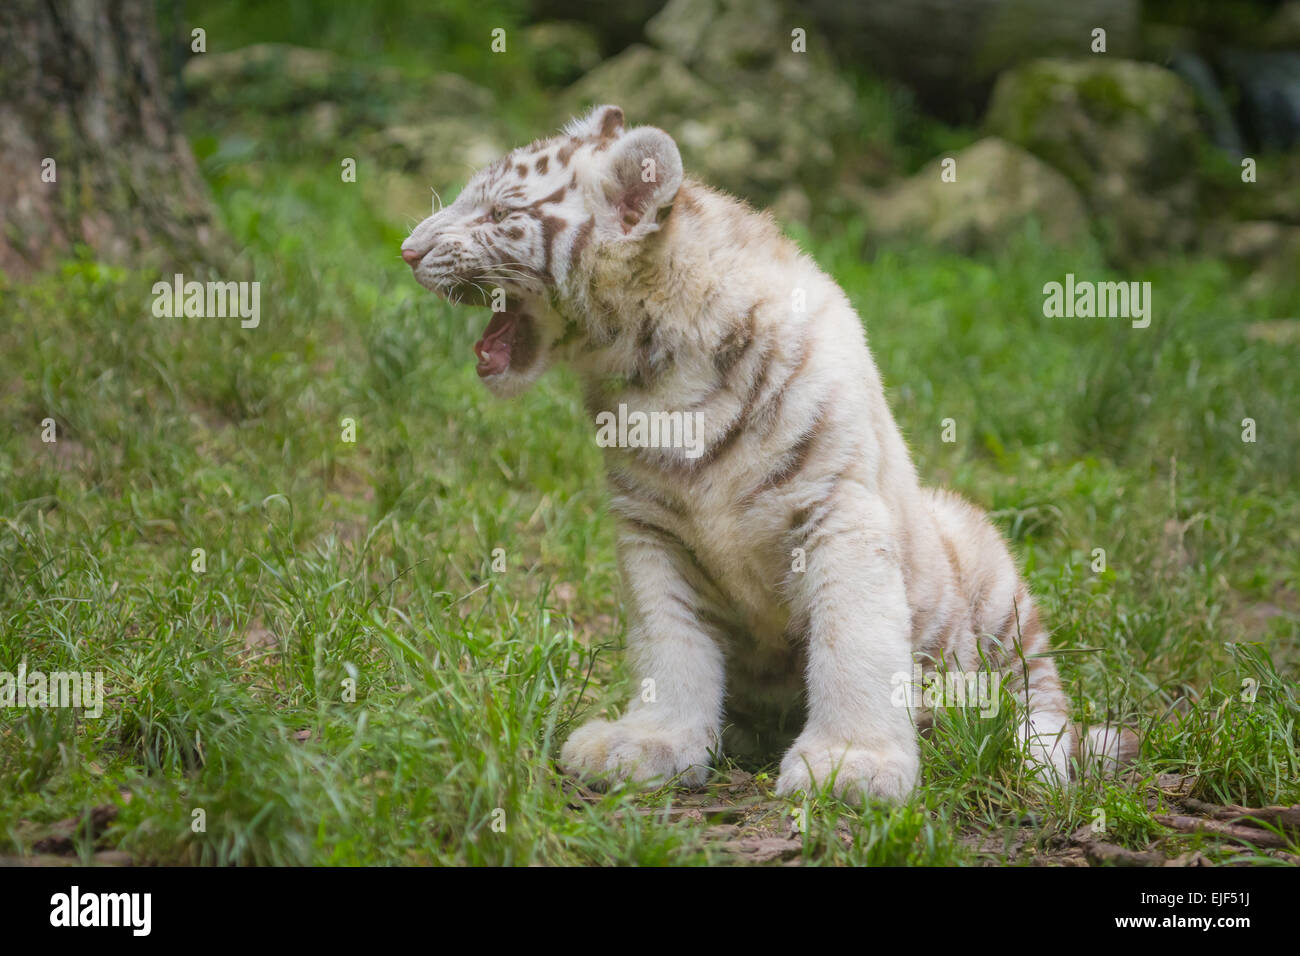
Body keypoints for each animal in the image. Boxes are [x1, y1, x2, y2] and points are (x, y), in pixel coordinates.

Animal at [400, 105, 1135, 802]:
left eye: (500, 215)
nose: (407, 250)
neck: (652, 372)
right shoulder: (651, 532)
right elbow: (671, 648)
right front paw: (650, 743)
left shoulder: (839, 513)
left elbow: (854, 643)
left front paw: (853, 765)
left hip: (990, 575)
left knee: (1042, 696)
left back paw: (1015, 749)